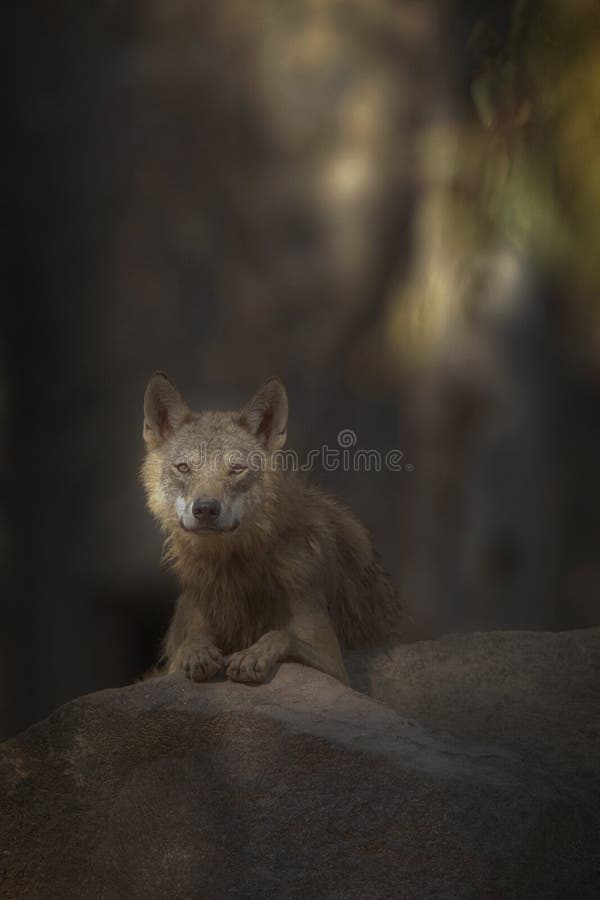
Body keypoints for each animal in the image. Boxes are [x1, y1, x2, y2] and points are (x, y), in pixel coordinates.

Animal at [141, 372, 403, 685]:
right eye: (183, 468)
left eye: (237, 469)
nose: (205, 509)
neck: (232, 574)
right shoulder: (171, 662)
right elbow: (187, 646)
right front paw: (198, 652)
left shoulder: (334, 664)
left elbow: (280, 635)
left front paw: (251, 656)